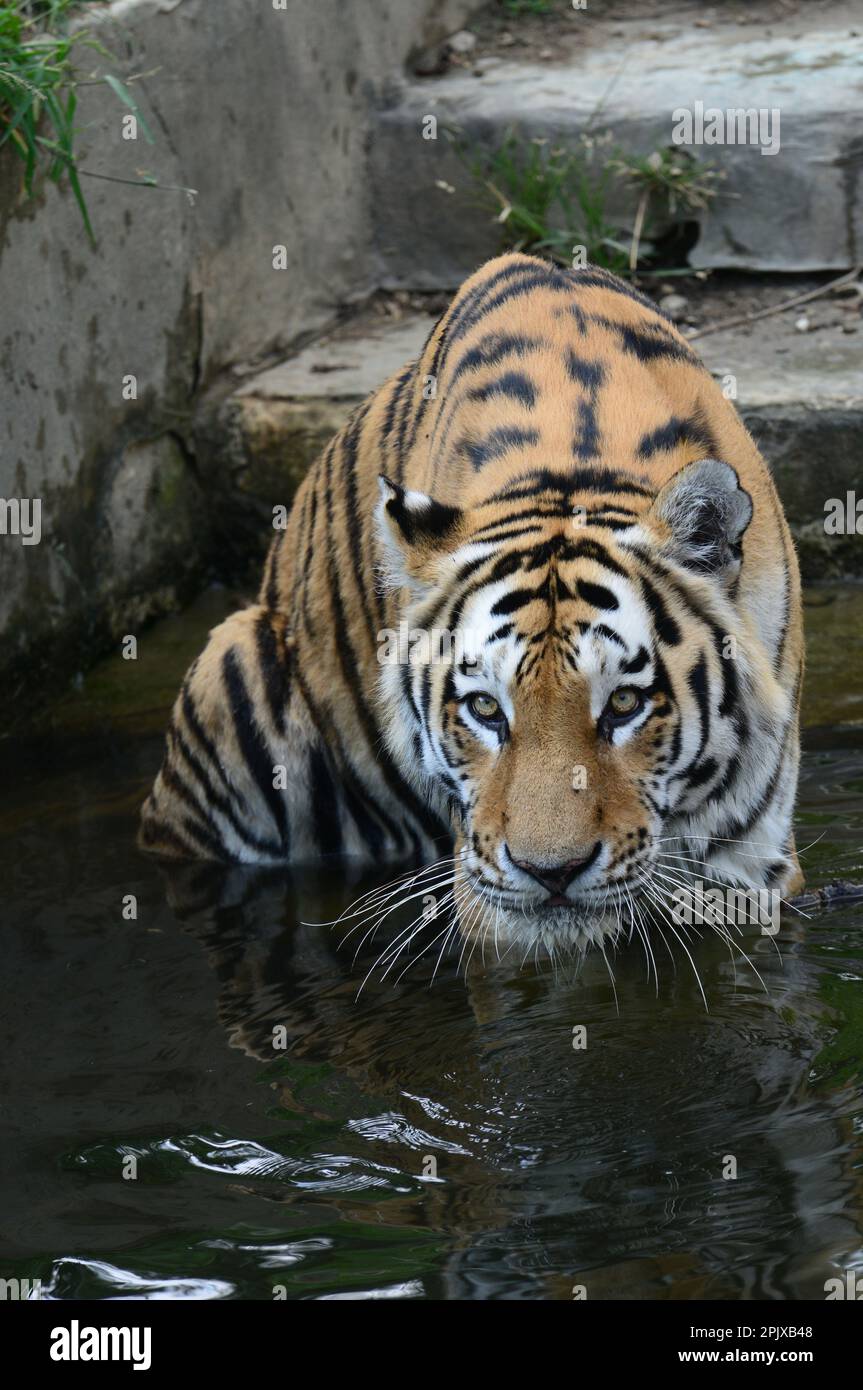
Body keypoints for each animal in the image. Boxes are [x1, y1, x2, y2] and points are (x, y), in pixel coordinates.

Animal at [139, 251, 804, 959]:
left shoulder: (751, 861)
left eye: (625, 703)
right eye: (485, 709)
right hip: (231, 658)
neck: (576, 467)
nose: (551, 872)